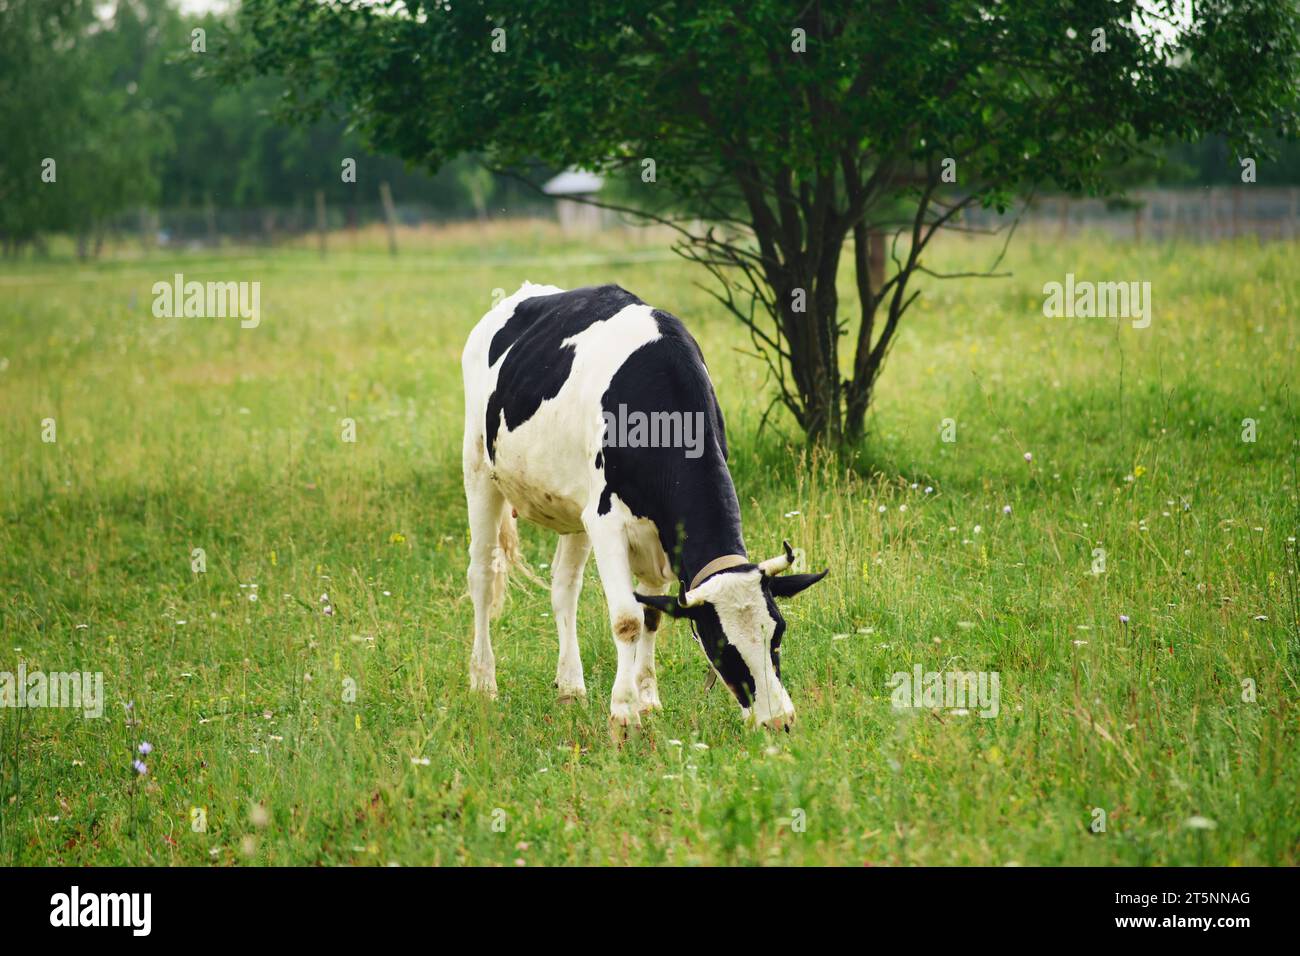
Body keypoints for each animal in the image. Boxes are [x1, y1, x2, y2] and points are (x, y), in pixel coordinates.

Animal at [461, 282, 826, 735]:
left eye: (778, 633)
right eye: (722, 647)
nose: (779, 722)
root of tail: (527, 292)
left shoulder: (657, 532)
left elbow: (652, 615)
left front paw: (648, 699)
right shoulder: (605, 521)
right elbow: (627, 619)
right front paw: (623, 711)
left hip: (574, 508)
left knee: (564, 587)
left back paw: (571, 688)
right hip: (478, 470)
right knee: (482, 576)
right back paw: (484, 684)